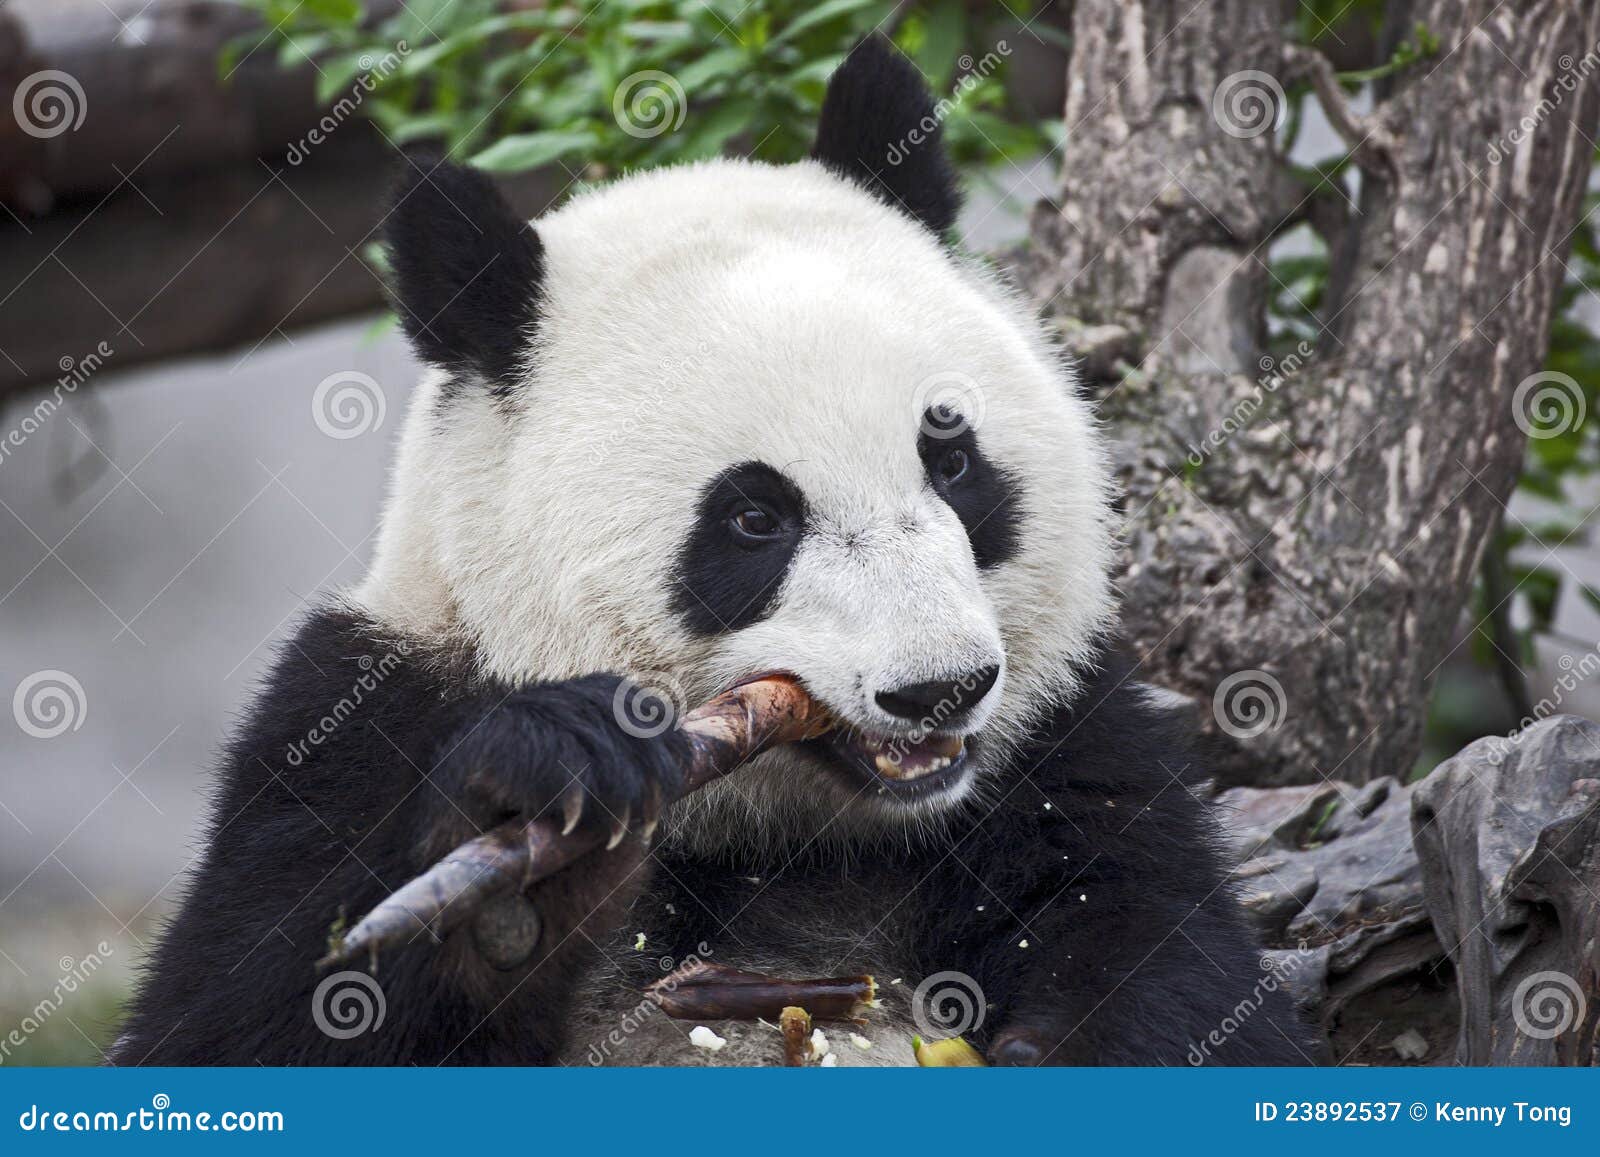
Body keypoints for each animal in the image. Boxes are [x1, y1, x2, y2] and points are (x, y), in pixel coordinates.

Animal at [112, 37, 1314, 1067]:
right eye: (753, 519)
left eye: (951, 458)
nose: (938, 690)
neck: (774, 831)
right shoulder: (360, 721)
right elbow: (249, 1015)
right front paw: (538, 818)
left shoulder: (1063, 741)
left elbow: (1171, 965)